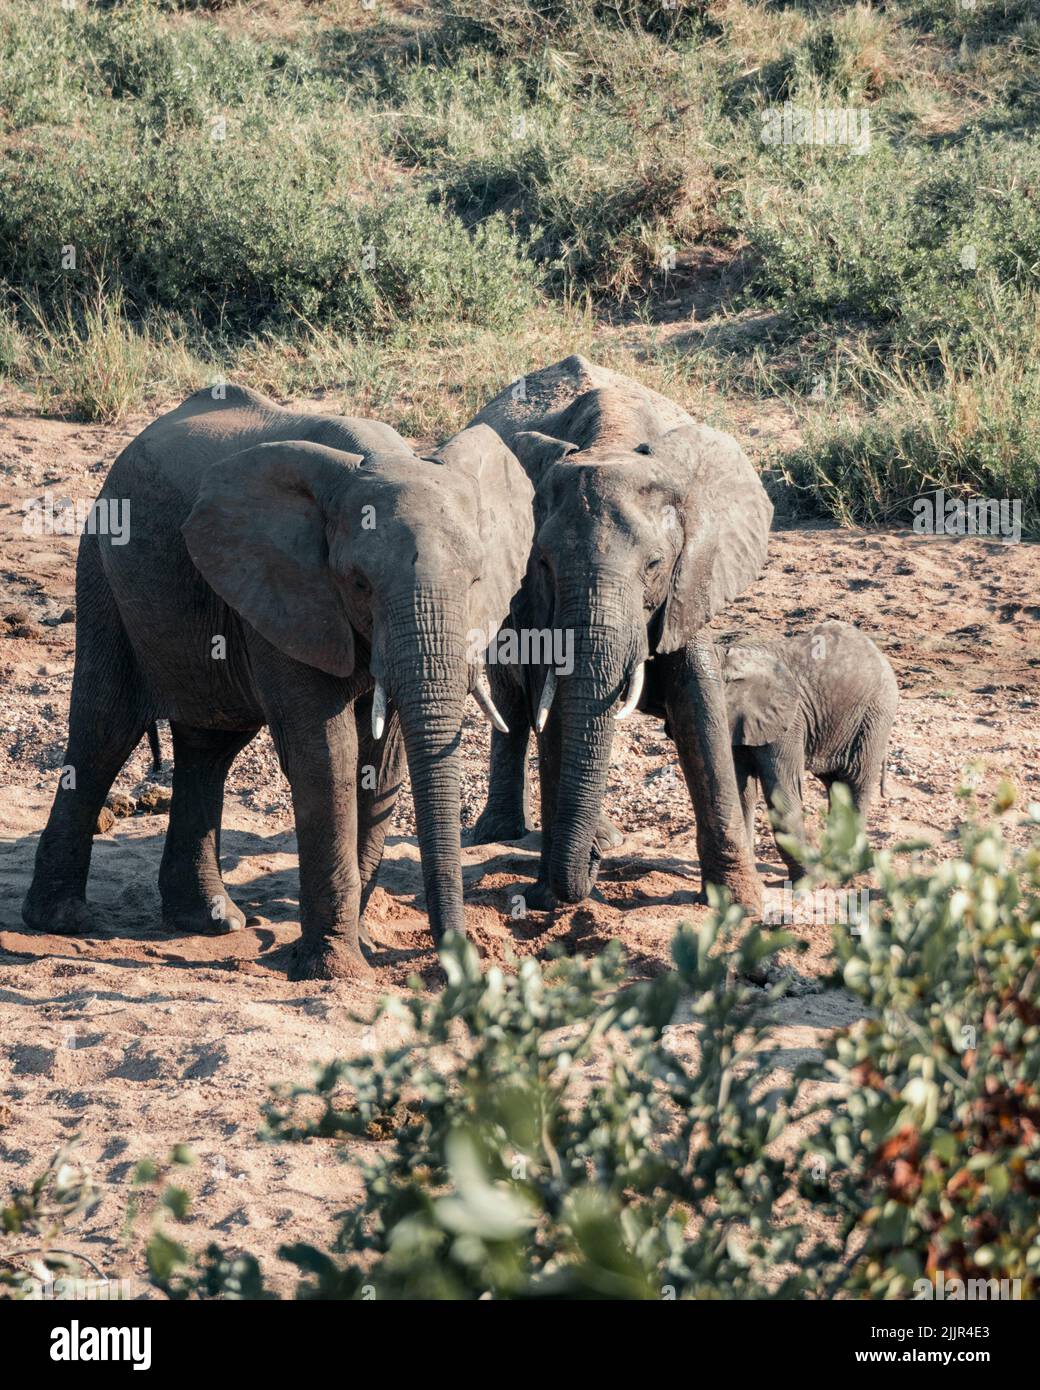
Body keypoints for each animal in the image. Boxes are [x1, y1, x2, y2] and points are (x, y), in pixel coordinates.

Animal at [22, 385, 533, 979]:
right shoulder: (285, 584)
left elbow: (381, 760)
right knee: (105, 729)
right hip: (104, 570)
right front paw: (334, 970)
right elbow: (328, 756)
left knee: (210, 747)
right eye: (359, 583)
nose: (454, 965)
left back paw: (211, 920)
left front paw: (357, 942)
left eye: (476, 580)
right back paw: (60, 921)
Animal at [465, 355, 773, 914]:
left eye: (653, 565)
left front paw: (738, 903)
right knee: (514, 700)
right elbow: (553, 705)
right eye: (542, 564)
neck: (611, 441)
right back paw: (509, 833)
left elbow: (698, 700)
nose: (591, 865)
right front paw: (548, 892)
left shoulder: (690, 580)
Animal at [720, 620, 898, 878]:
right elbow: (741, 791)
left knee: (856, 782)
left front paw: (810, 880)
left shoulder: (787, 721)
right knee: (836, 785)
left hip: (875, 714)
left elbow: (783, 791)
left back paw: (845, 865)